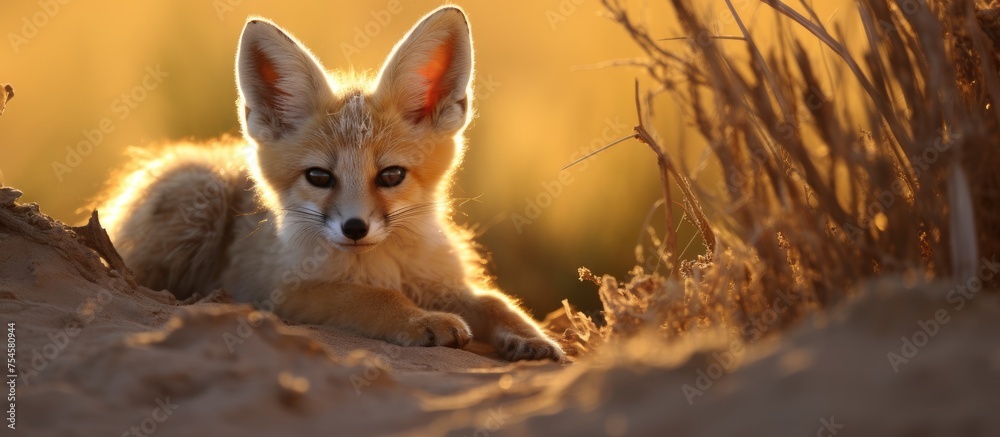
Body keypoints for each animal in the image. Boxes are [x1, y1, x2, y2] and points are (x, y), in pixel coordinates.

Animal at [98, 7, 565, 362]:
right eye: (319, 177)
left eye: (391, 175)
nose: (355, 228)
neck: (380, 264)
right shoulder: (286, 292)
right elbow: (370, 298)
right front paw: (420, 320)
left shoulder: (440, 281)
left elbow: (494, 301)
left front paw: (533, 337)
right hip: (198, 199)